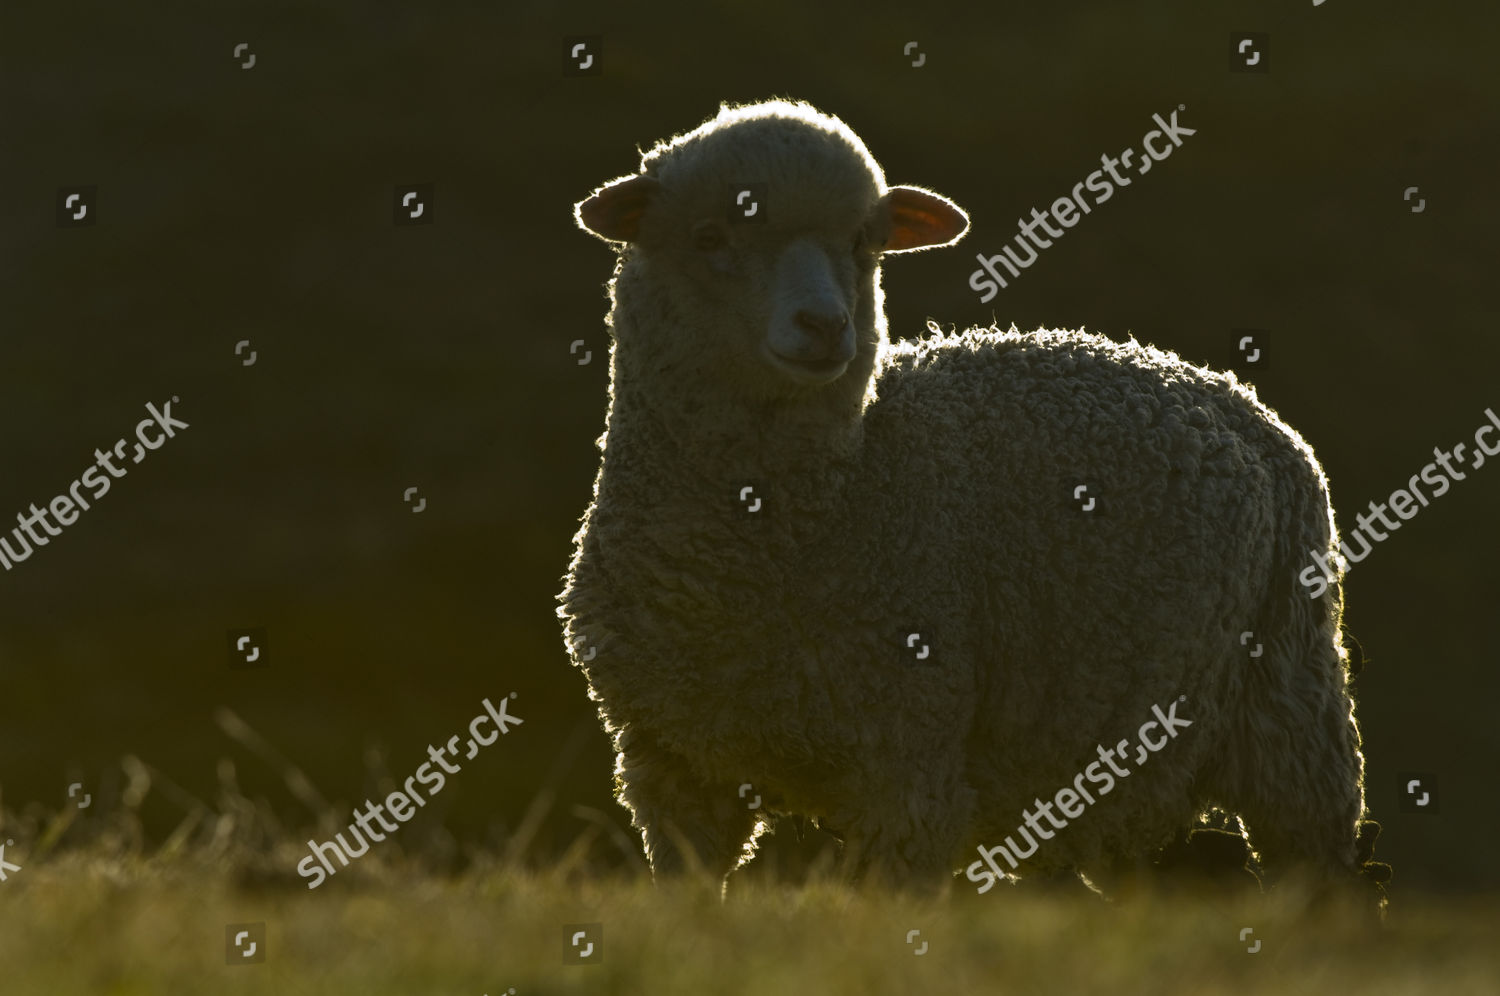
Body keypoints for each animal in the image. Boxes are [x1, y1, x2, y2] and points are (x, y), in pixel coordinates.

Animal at [556, 98, 1386, 907]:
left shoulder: (911, 755)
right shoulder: (668, 762)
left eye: (865, 242)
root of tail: (1237, 401)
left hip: (1296, 711)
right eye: (708, 236)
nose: (826, 326)